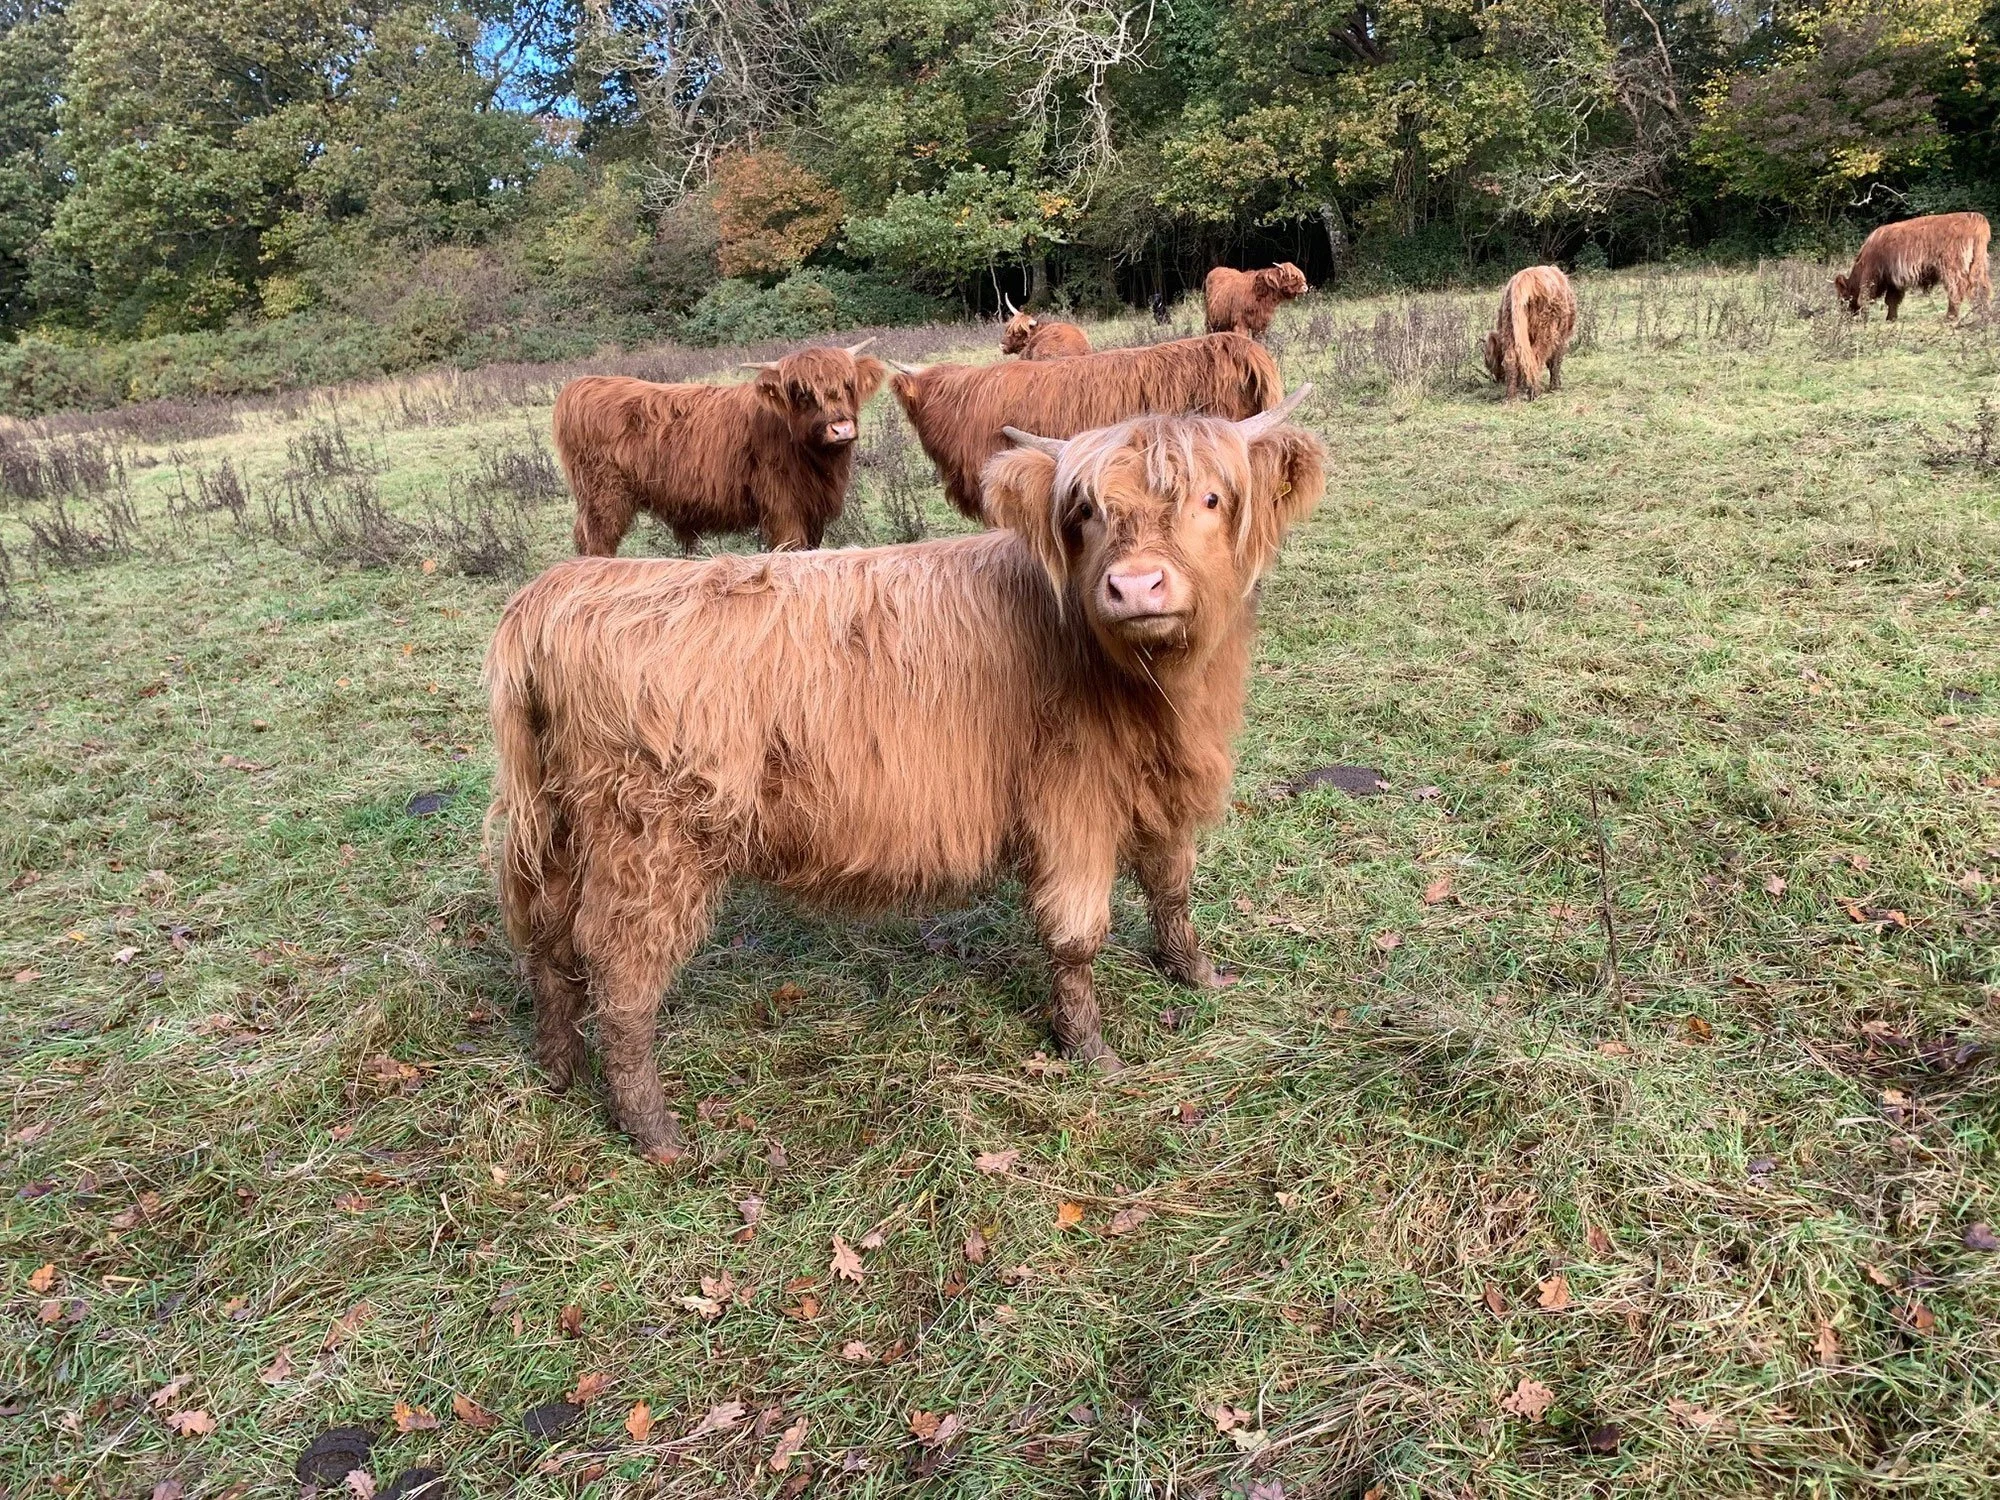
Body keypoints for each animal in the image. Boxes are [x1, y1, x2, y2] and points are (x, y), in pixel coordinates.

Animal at [485, 390, 1325, 1159]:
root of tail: (557, 593)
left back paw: (559, 1069)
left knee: (549, 948)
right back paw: (655, 1131)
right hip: (649, 845)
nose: (1136, 585)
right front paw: (1091, 1051)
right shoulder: (1072, 803)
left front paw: (1198, 975)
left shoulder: (1159, 788)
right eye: (1085, 511)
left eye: (1210, 498)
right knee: (619, 978)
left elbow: (1172, 887)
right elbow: (1077, 934)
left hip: (562, 832)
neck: (1154, 687)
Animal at [553, 340, 886, 557]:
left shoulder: (813, 510)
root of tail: (583, 385)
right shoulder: (783, 508)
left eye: (848, 385)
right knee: (597, 542)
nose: (841, 428)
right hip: (604, 498)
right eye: (802, 393)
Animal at [1482, 266, 1578, 402]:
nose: (1497, 380)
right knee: (1535, 358)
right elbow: (1555, 362)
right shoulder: (1561, 338)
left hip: (1510, 327)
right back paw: (1534, 393)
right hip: (1545, 330)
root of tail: (1524, 279)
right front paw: (1555, 387)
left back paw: (1511, 397)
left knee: (1511, 359)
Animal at [1834, 212, 1993, 322]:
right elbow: (1892, 299)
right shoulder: (1893, 280)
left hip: (1952, 266)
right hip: (1979, 264)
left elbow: (1865, 296)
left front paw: (1865, 318)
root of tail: (1974, 217)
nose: (1844, 317)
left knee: (1956, 289)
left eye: (1842, 298)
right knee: (1983, 287)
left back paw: (1950, 317)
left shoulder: (1872, 273)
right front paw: (1891, 318)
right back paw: (1986, 314)